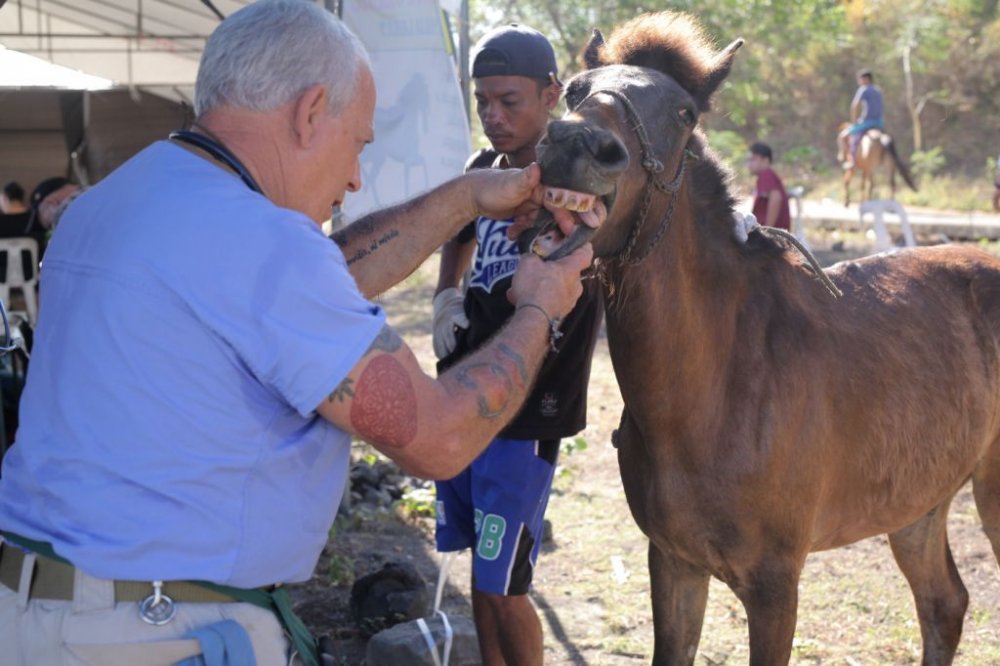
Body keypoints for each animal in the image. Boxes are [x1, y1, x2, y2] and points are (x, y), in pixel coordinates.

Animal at [527, 12, 1000, 664]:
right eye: (576, 89)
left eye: (684, 113)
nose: (577, 146)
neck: (715, 388)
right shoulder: (673, 563)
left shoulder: (775, 586)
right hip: (917, 504)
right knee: (943, 604)